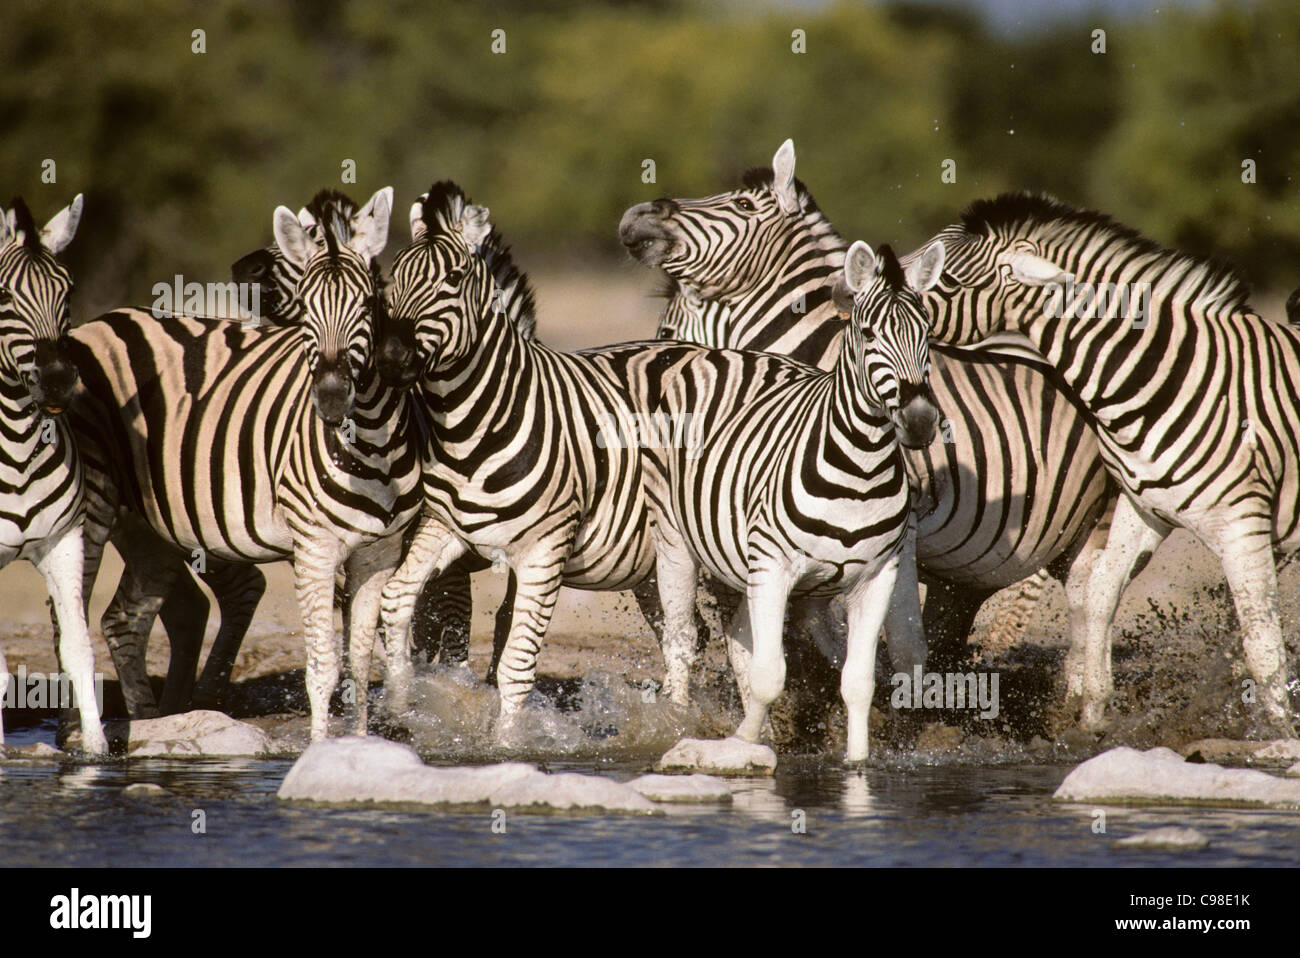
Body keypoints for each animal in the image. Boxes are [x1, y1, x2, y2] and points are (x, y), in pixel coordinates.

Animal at [66, 186, 422, 742]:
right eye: (307, 311)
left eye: (367, 303)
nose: (330, 398)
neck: (373, 444)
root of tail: (99, 321)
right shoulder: (315, 548)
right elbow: (324, 666)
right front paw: (320, 749)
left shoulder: (378, 553)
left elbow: (361, 662)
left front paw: (362, 745)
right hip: (96, 505)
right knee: (74, 612)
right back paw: (79, 733)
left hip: (148, 520)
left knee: (127, 616)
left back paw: (148, 723)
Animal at [649, 240, 945, 762]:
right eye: (868, 333)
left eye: (927, 332)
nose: (920, 421)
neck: (859, 469)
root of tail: (732, 353)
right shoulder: (774, 564)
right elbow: (771, 675)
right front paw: (743, 744)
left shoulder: (877, 577)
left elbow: (857, 683)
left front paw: (857, 764)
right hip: (675, 539)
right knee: (681, 640)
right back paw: (678, 723)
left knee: (739, 640)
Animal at [911, 191, 1299, 734]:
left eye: (944, 280)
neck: (1162, 377)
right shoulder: (1143, 511)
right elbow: (1099, 596)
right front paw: (1092, 718)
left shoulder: (1241, 523)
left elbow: (1262, 643)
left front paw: (1280, 736)